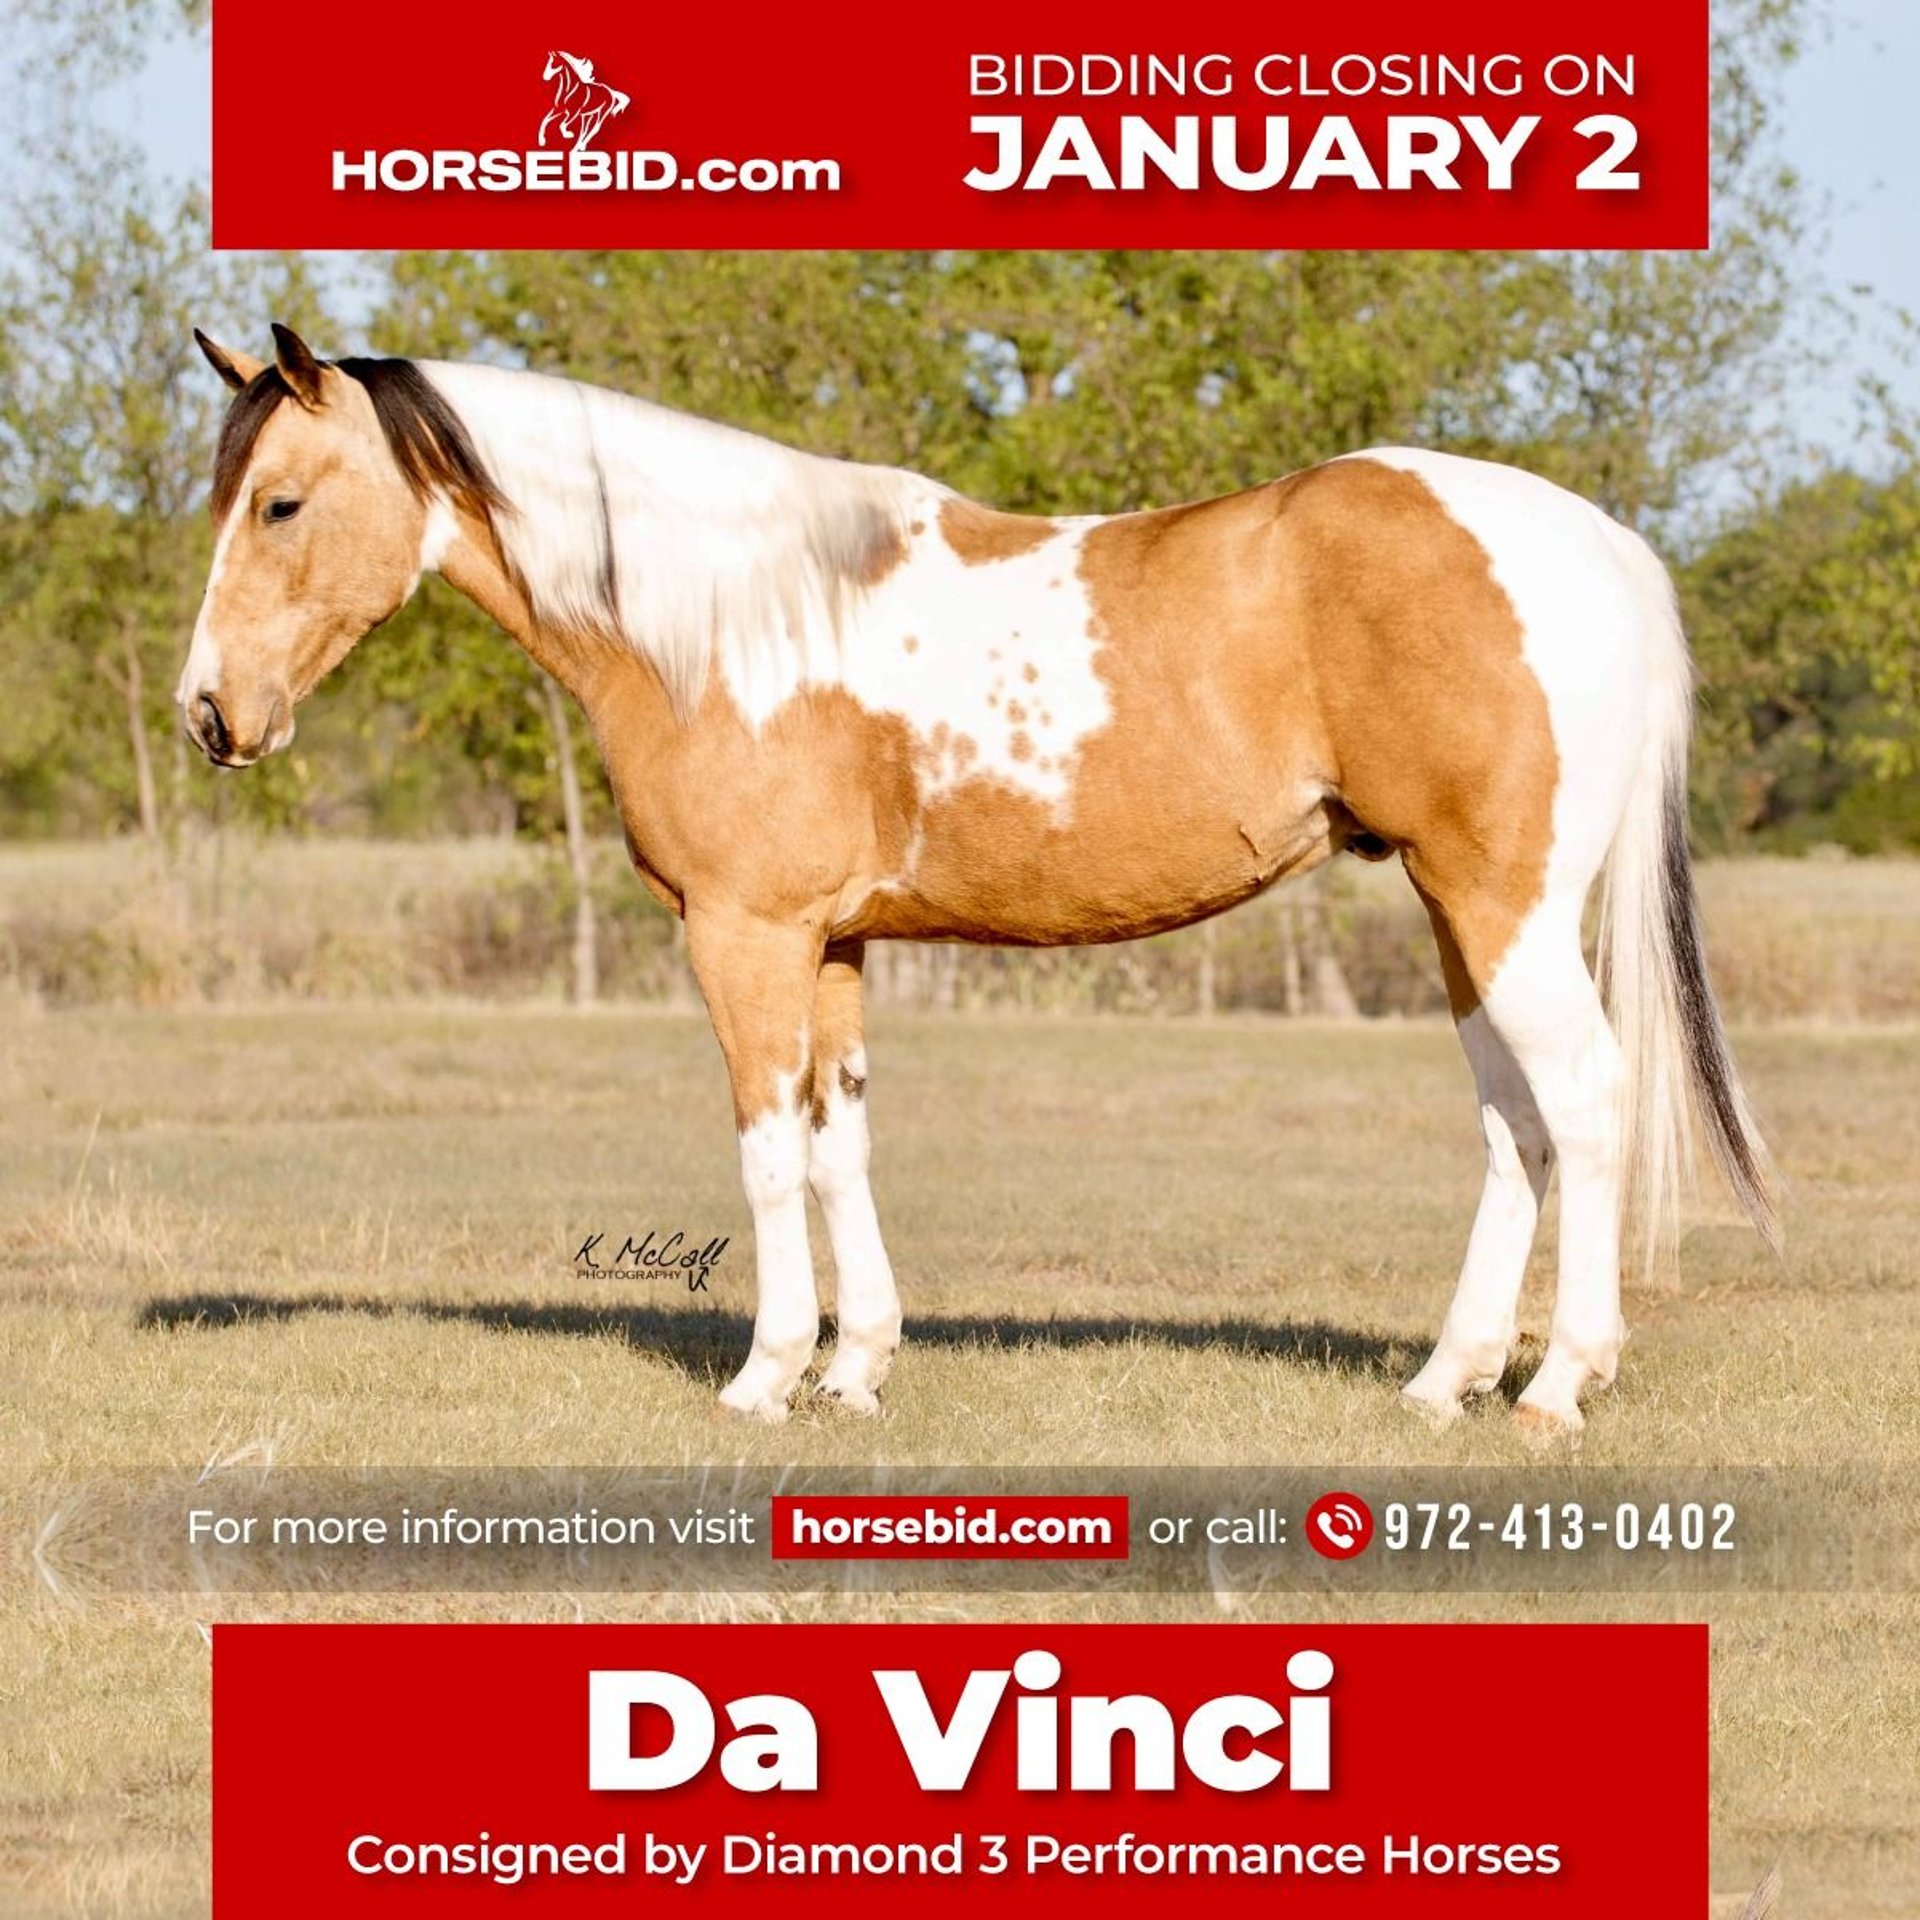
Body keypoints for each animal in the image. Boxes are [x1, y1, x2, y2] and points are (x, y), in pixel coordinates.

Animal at [178, 324, 1778, 1435]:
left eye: (279, 505)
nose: (210, 715)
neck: (737, 620)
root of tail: (1601, 545)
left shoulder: (746, 937)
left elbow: (767, 1150)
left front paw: (766, 1377)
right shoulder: (831, 945)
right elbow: (841, 1143)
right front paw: (856, 1371)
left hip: (1504, 908)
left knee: (1584, 1102)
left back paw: (1559, 1386)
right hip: (1464, 916)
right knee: (1518, 1126)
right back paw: (1447, 1381)